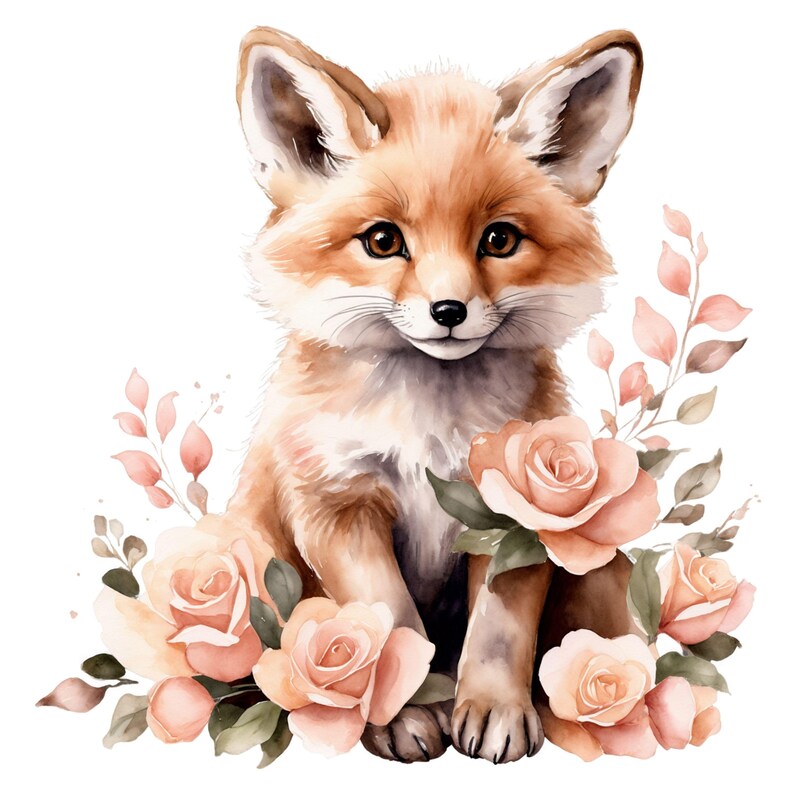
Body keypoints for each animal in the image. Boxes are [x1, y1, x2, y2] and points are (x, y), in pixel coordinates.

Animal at [225, 26, 644, 763]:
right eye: (383, 240)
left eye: (499, 239)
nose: (449, 311)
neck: (429, 429)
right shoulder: (337, 504)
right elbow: (386, 623)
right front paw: (402, 714)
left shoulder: (520, 511)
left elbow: (501, 631)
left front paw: (496, 710)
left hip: (596, 577)